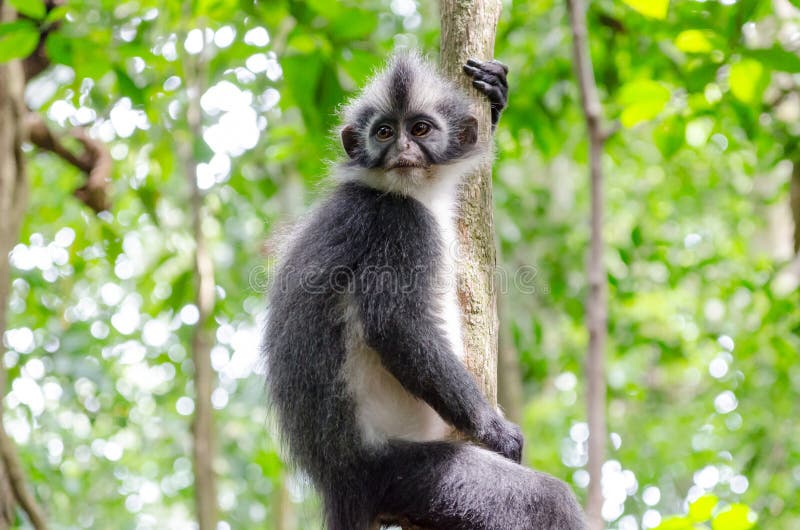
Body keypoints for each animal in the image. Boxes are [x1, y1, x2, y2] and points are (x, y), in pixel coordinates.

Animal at [263, 52, 587, 530]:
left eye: (419, 129)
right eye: (384, 132)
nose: (403, 151)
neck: (398, 191)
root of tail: (340, 481)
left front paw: (495, 96)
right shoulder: (401, 226)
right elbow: (395, 327)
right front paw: (495, 431)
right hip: (404, 472)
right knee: (548, 503)